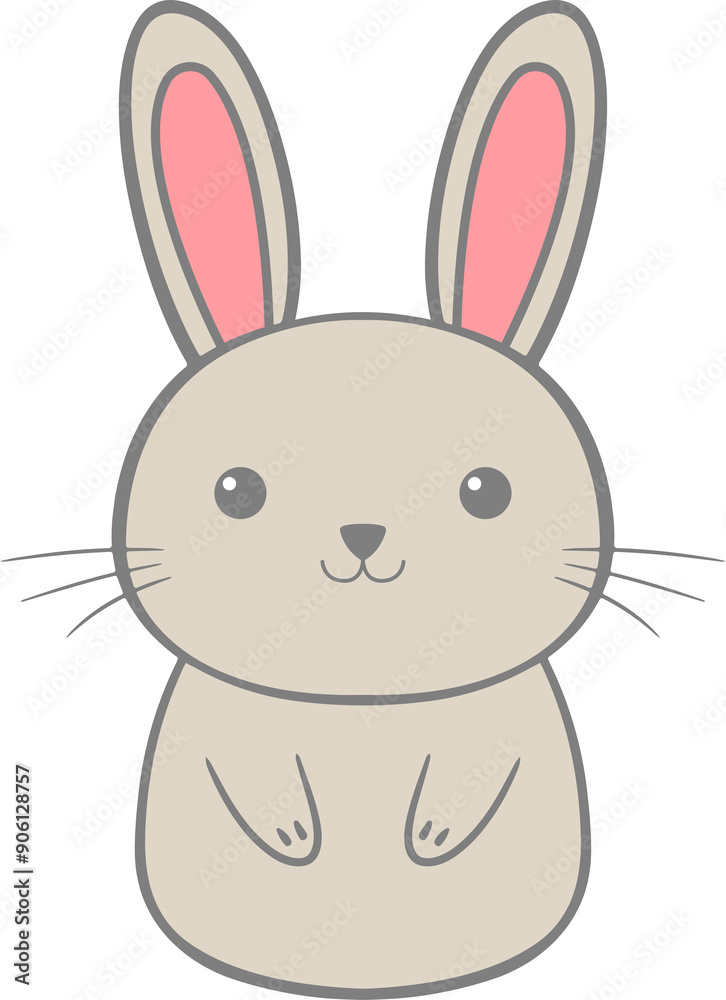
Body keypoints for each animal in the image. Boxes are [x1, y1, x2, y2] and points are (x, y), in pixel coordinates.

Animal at [10, 0, 714, 996]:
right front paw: (294, 832)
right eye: (236, 490)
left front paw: (433, 832)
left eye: (486, 490)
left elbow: (476, 762)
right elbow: (250, 762)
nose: (363, 534)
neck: (365, 699)